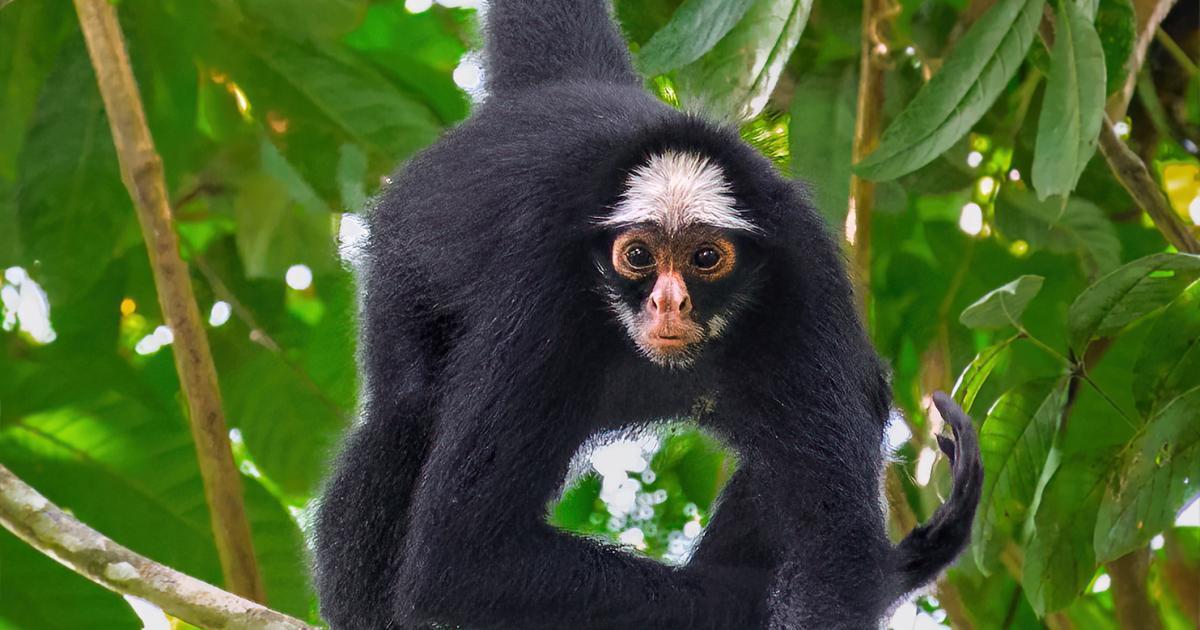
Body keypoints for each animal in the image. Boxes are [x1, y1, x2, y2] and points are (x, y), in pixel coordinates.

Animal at [311, 1, 983, 628]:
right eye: (638, 256)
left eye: (706, 257)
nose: (668, 302)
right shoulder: (544, 283)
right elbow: (463, 559)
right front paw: (738, 598)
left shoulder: (803, 275)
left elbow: (833, 555)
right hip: (404, 271)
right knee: (407, 412)